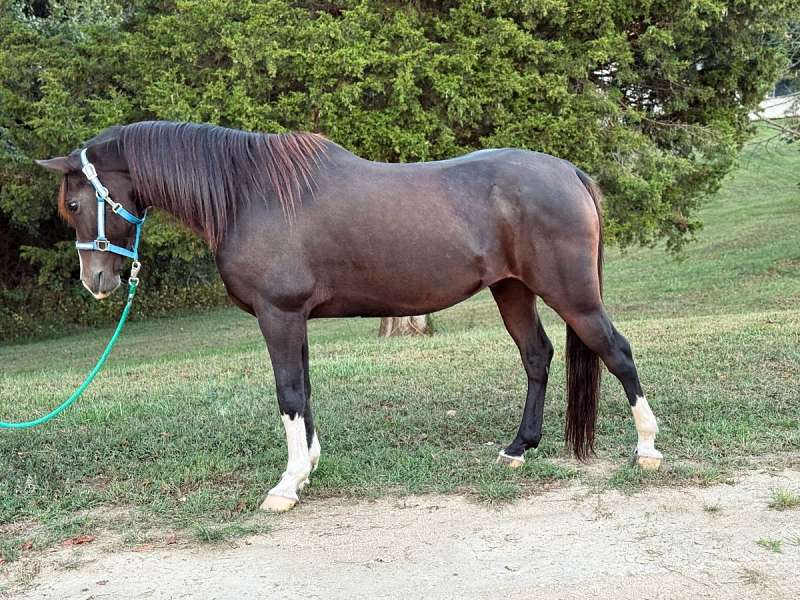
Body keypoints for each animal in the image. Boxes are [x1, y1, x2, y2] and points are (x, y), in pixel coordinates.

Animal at [36, 121, 663, 512]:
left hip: (571, 293)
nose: (97, 281)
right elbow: (305, 391)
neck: (250, 194)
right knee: (538, 356)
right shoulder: (295, 319)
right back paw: (518, 448)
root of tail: (569, 173)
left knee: (616, 351)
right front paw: (309, 465)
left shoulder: (278, 315)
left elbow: (289, 392)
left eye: (75, 203)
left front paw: (287, 485)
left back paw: (647, 449)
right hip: (512, 291)